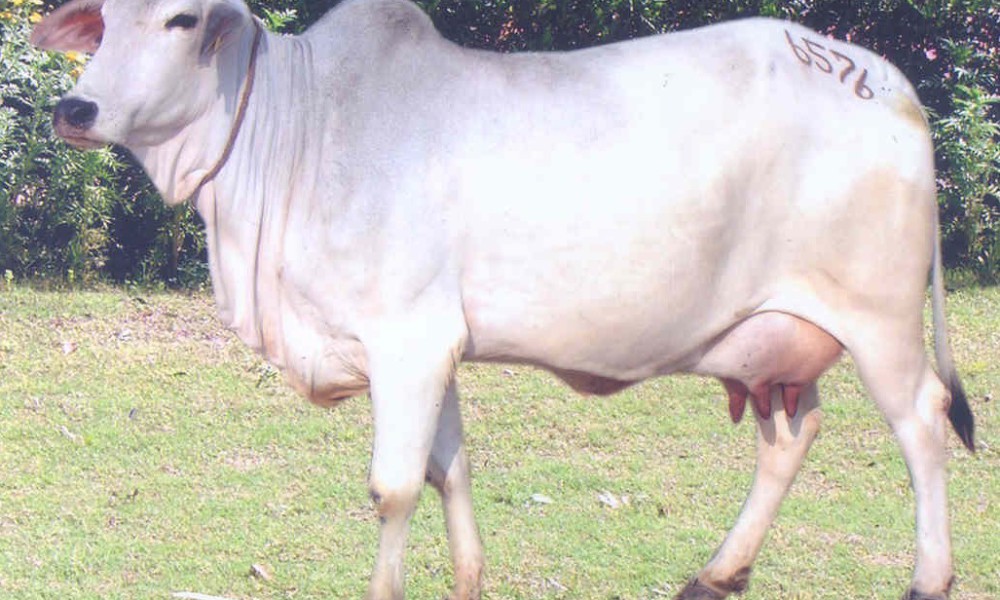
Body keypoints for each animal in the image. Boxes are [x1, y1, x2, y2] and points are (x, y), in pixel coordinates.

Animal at [31, 0, 976, 598]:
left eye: (181, 20)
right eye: (101, 20)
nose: (75, 107)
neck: (299, 132)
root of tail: (886, 79)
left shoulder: (406, 342)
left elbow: (395, 487)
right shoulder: (436, 349)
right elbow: (449, 471)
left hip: (881, 321)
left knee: (922, 423)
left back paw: (928, 579)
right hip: (776, 338)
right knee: (792, 435)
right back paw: (717, 574)